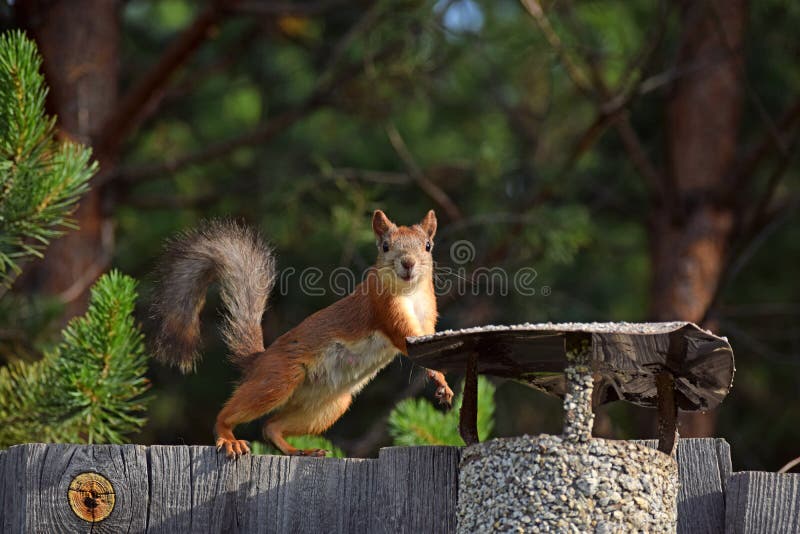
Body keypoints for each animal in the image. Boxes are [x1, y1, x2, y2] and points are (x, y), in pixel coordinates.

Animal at [151, 209, 453, 457]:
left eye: (427, 246)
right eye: (386, 246)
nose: (408, 263)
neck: (410, 293)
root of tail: (259, 361)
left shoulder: (427, 319)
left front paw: (442, 382)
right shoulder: (384, 310)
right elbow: (404, 337)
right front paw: (438, 378)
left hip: (329, 405)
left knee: (272, 426)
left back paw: (299, 450)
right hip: (278, 379)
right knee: (231, 415)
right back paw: (228, 436)